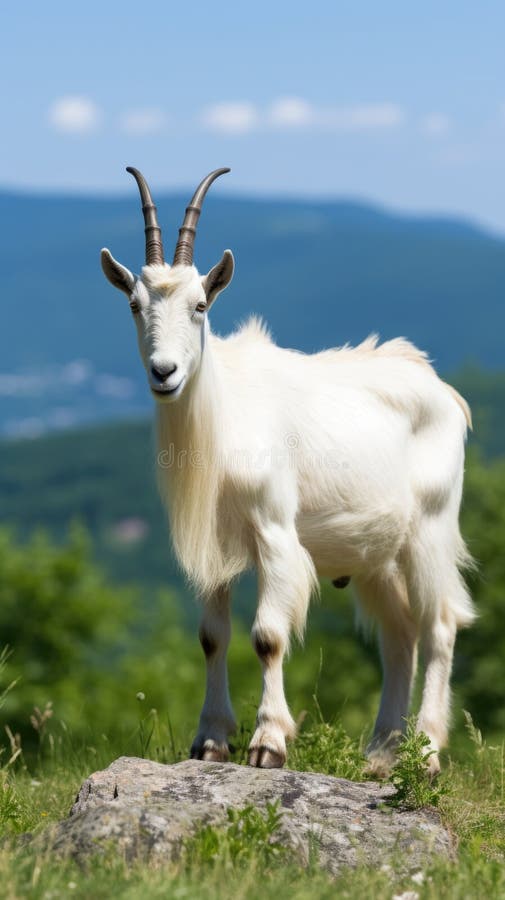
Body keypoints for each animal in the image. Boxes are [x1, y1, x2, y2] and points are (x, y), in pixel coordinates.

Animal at [101, 167, 474, 777]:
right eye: (134, 303)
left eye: (200, 305)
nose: (164, 372)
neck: (225, 416)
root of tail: (444, 392)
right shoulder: (214, 546)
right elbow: (212, 636)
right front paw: (210, 741)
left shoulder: (274, 530)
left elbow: (267, 636)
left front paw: (268, 744)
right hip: (375, 552)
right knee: (399, 635)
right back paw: (380, 755)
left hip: (431, 528)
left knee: (438, 626)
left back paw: (425, 753)